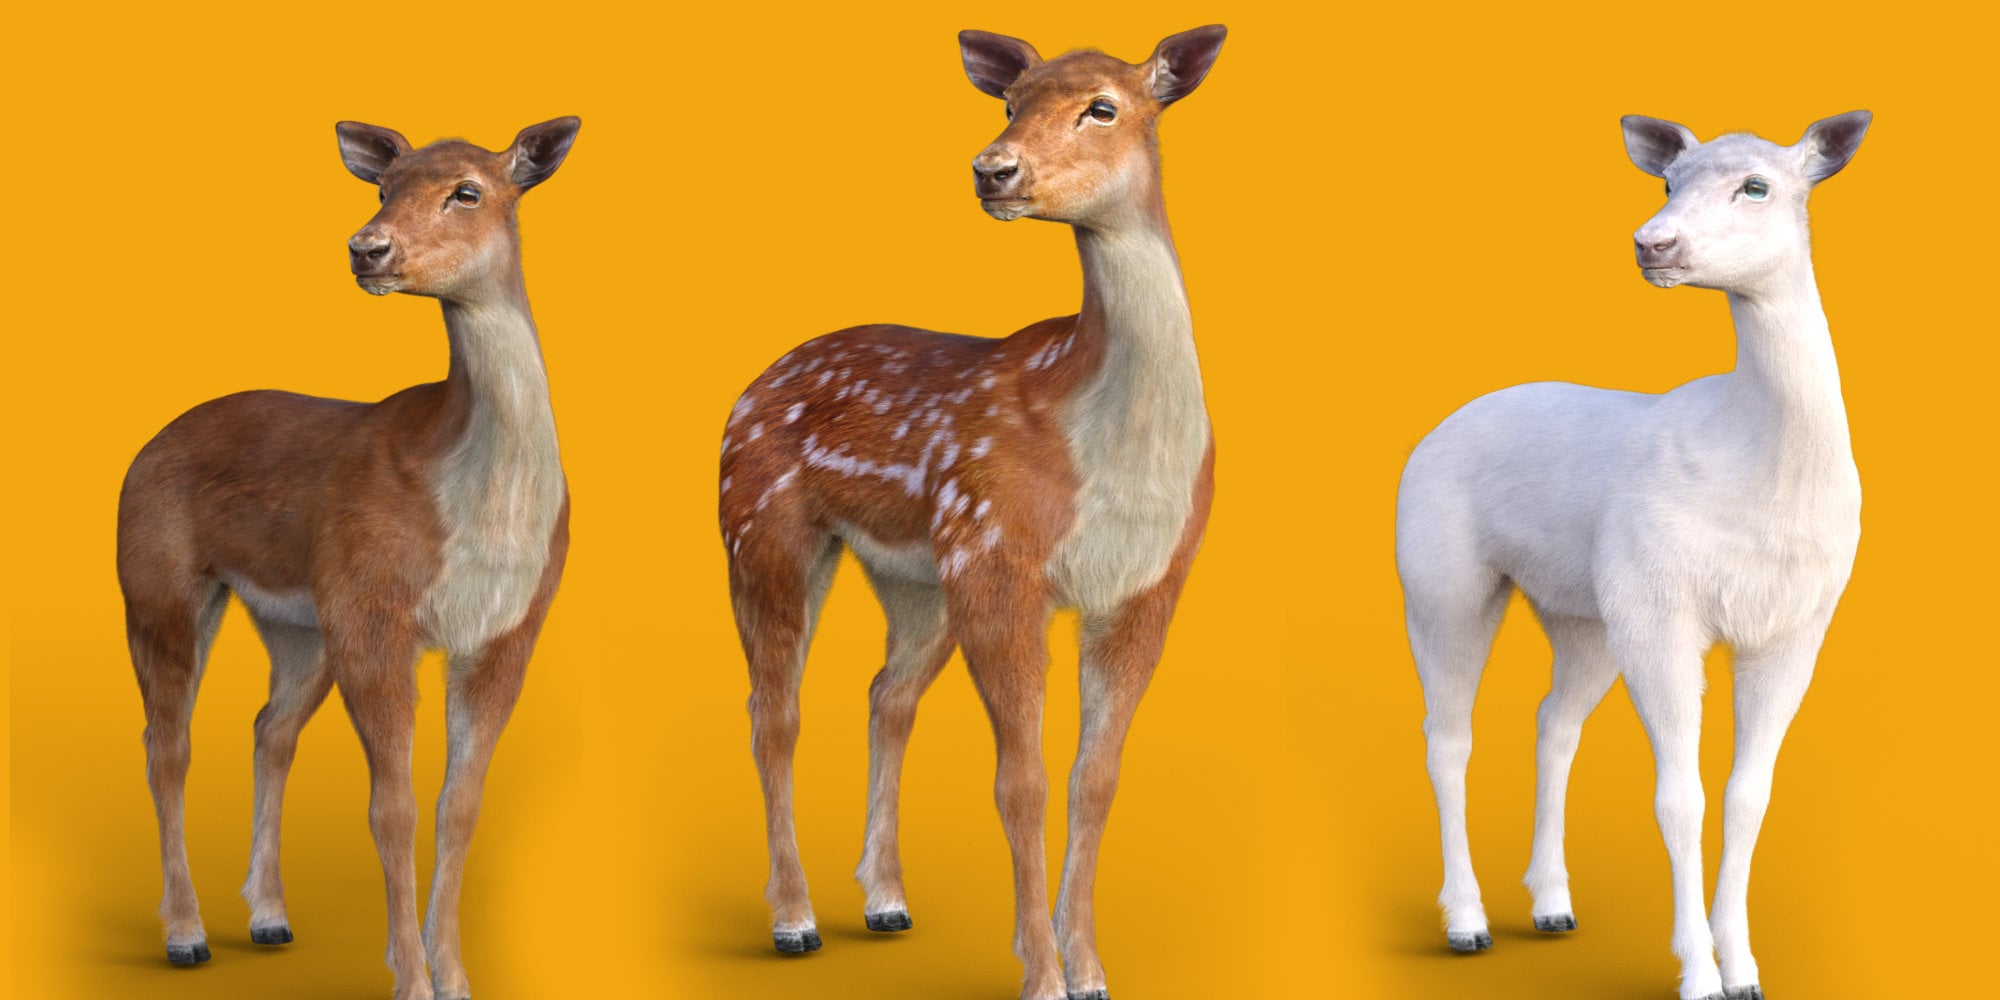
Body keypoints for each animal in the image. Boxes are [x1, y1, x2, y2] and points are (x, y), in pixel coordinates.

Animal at [115, 116, 580, 1000]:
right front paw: (412, 979)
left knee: (269, 726)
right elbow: (392, 806)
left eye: (468, 190)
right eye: (383, 186)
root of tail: (144, 448)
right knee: (166, 742)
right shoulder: (374, 604)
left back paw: (268, 917)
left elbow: (459, 805)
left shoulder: (512, 625)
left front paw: (456, 975)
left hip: (298, 622)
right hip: (156, 580)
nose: (367, 248)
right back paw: (186, 934)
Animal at [718, 25, 1226, 1000]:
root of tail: (749, 387)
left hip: (917, 575)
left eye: (1103, 106)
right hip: (759, 525)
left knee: (887, 692)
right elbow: (1020, 781)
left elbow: (1096, 780)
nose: (992, 169)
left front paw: (1091, 968)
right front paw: (1044, 974)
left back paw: (885, 900)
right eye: (1011, 102)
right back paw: (795, 920)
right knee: (774, 709)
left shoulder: (1152, 583)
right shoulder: (1000, 555)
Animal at [1394, 110, 1871, 1000]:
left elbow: (1748, 796)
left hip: (1583, 614)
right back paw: (1468, 921)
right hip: (1442, 579)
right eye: (1668, 181)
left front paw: (1746, 969)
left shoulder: (1795, 626)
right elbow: (1680, 798)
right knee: (1448, 735)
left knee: (1554, 720)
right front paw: (1699, 973)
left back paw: (1551, 904)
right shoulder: (1661, 610)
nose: (1653, 243)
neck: (1762, 473)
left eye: (1757, 185)